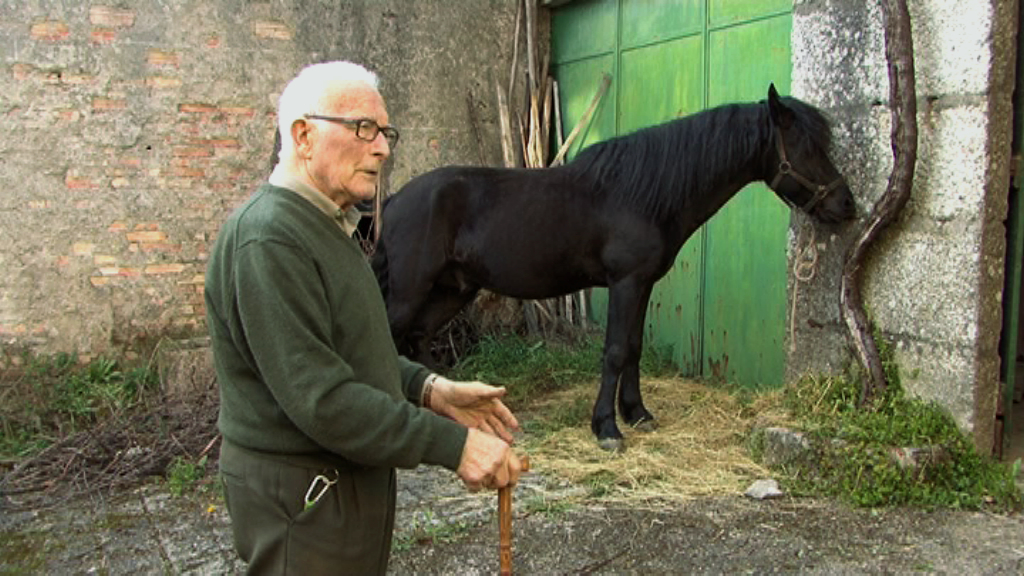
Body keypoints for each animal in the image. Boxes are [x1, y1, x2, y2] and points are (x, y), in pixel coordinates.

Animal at [372, 84, 857, 451]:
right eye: (807, 148)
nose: (846, 206)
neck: (642, 192)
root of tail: (394, 202)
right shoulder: (625, 283)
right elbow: (616, 351)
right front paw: (607, 427)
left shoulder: (643, 285)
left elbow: (635, 348)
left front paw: (637, 413)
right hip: (414, 289)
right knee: (393, 333)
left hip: (453, 289)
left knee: (419, 336)